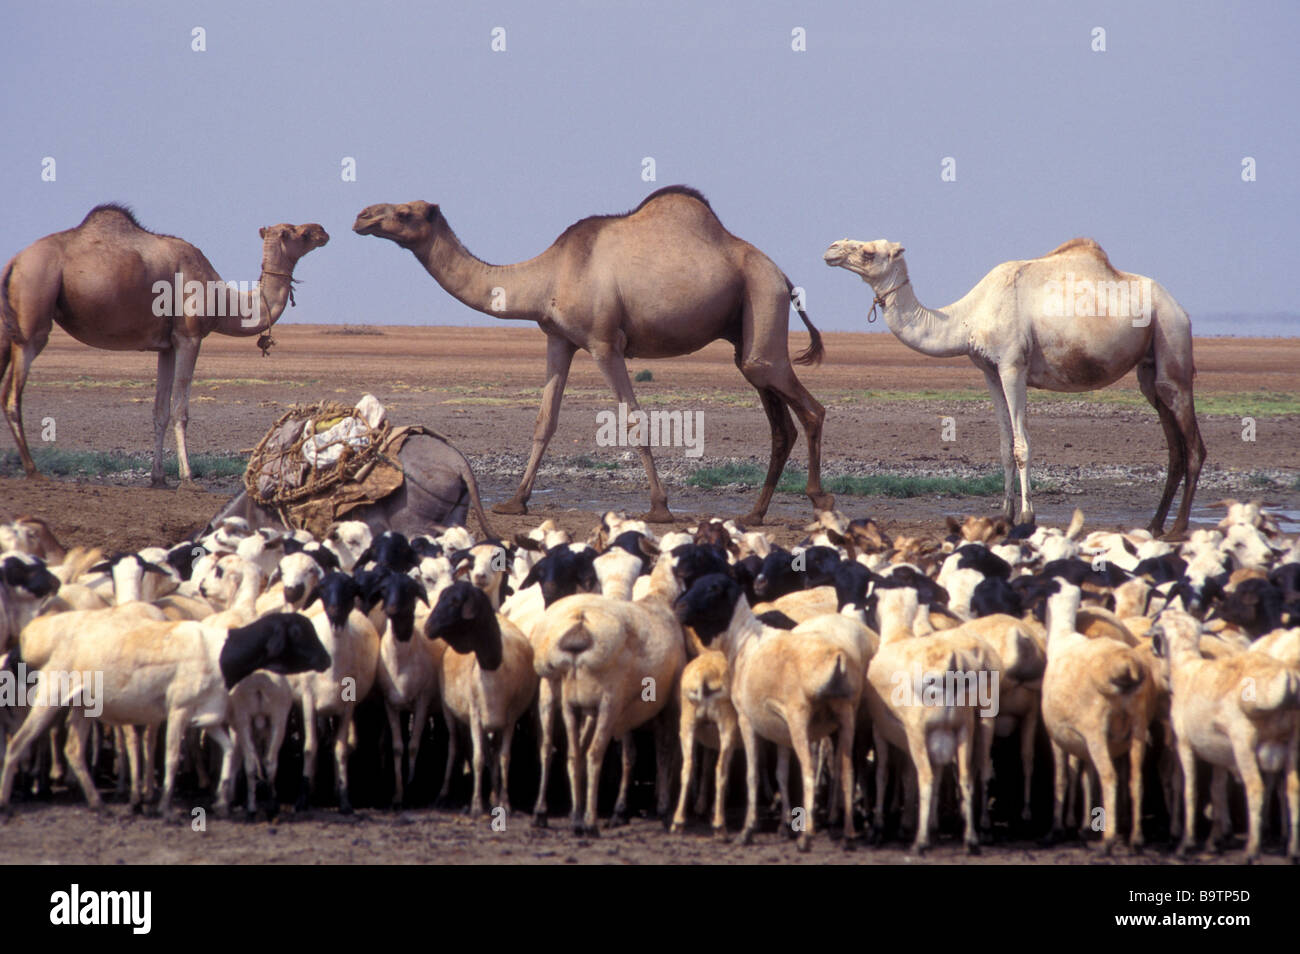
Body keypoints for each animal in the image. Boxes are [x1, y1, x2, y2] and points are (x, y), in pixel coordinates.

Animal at [1, 204, 328, 486]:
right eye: (299, 232)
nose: (322, 230)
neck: (223, 298)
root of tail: (14, 261)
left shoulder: (166, 346)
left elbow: (159, 411)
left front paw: (158, 478)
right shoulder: (188, 338)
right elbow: (180, 410)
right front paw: (187, 478)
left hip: (8, 327)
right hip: (34, 308)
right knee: (12, 395)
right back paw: (33, 470)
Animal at [352, 185, 829, 524]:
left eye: (405, 213)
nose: (361, 216)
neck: (546, 275)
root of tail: (785, 277)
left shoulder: (604, 343)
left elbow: (634, 420)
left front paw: (659, 508)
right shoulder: (558, 339)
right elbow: (545, 420)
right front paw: (515, 502)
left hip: (761, 300)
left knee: (810, 408)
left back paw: (818, 500)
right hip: (744, 335)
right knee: (779, 424)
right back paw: (754, 515)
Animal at [824, 237, 1205, 536]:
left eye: (869, 252)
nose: (831, 249)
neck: (968, 317)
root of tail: (1181, 309)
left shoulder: (1011, 365)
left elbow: (1022, 446)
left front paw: (1026, 517)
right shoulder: (989, 370)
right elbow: (1005, 445)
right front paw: (1003, 514)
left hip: (1172, 339)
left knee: (1193, 444)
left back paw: (1177, 528)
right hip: (1149, 369)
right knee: (1173, 445)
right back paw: (1154, 525)